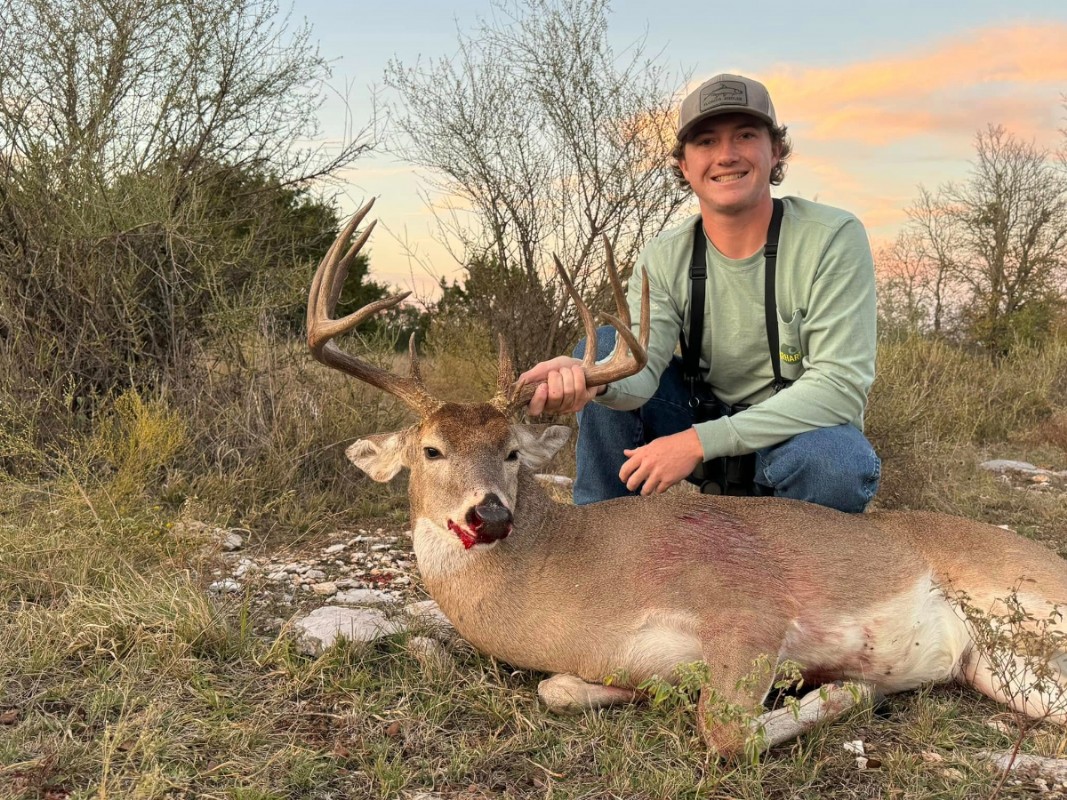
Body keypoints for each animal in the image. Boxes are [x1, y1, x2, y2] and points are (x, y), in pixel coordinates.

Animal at [307, 199, 1067, 758]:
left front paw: (849, 691)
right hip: (1002, 668)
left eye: (513, 453)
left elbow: (724, 732)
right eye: (432, 450)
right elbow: (561, 691)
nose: (488, 515)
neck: (570, 581)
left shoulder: (746, 605)